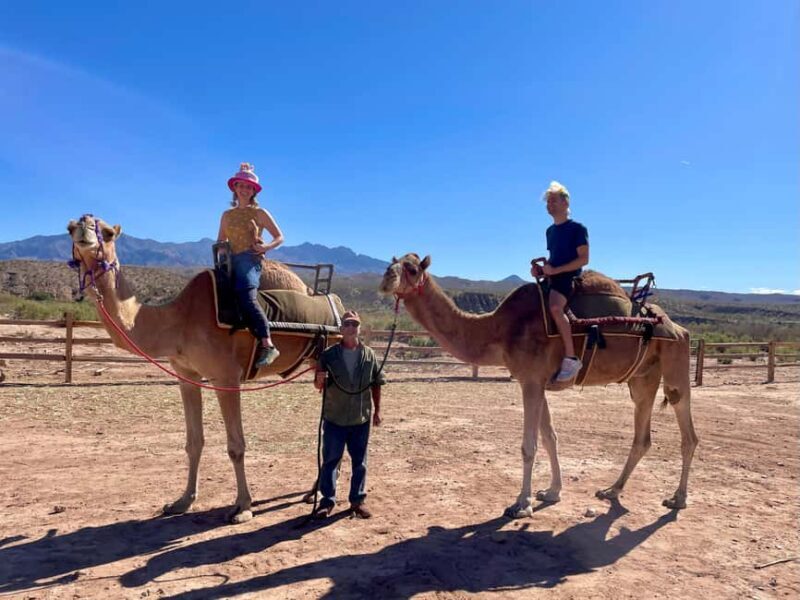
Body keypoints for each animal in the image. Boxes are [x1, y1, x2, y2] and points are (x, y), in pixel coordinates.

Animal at [67, 214, 322, 523]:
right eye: (69, 229)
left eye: (107, 232)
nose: (84, 227)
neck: (178, 320)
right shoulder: (186, 376)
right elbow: (193, 442)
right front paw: (183, 501)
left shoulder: (226, 376)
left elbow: (236, 446)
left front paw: (243, 507)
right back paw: (312, 492)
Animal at [380, 253, 698, 518]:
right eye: (392, 262)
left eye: (411, 268)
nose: (385, 278)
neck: (500, 328)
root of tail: (678, 327)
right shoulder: (537, 381)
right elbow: (550, 438)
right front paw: (552, 492)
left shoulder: (531, 381)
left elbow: (529, 445)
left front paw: (521, 503)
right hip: (642, 377)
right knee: (642, 435)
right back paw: (612, 490)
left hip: (675, 359)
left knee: (686, 426)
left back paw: (678, 498)